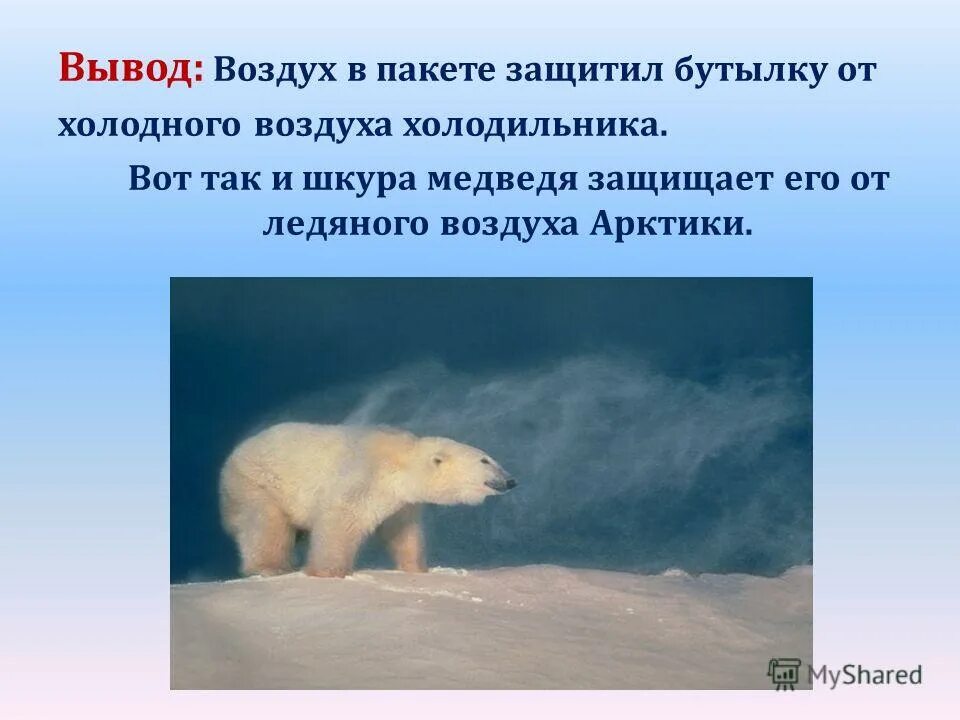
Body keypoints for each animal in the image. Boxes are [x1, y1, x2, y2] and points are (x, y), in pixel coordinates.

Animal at [219, 422, 516, 578]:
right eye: (485, 460)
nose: (511, 481)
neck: (400, 461)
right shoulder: (364, 476)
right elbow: (341, 520)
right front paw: (327, 572)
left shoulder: (402, 501)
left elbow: (402, 532)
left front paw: (417, 568)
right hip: (258, 482)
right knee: (265, 523)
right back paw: (270, 566)